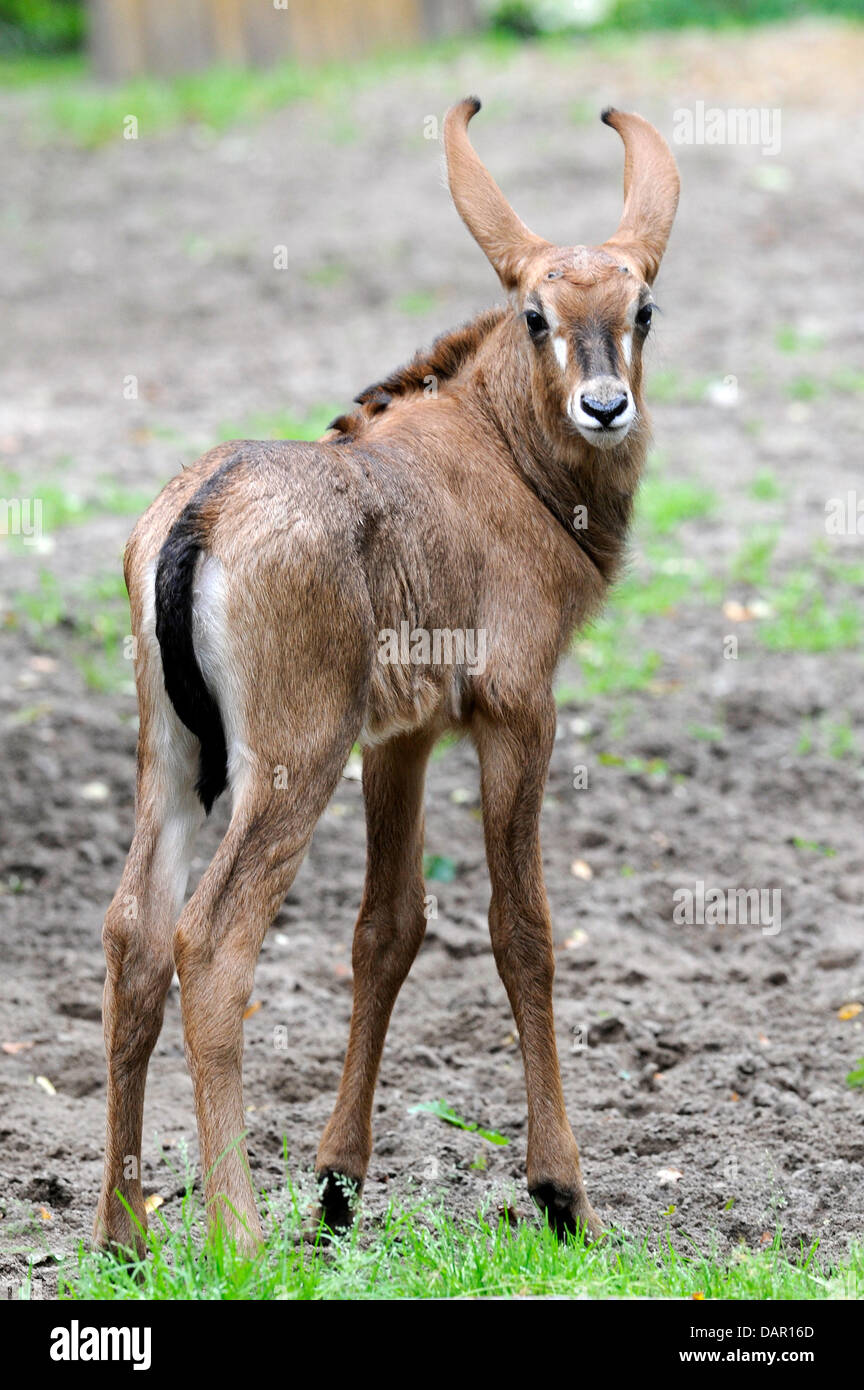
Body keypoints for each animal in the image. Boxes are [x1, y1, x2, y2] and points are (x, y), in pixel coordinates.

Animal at [95, 97, 679, 1254]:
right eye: (536, 314)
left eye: (643, 307)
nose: (604, 408)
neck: (501, 454)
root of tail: (203, 513)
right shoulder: (516, 711)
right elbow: (521, 930)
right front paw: (561, 1193)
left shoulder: (399, 738)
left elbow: (387, 928)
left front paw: (337, 1185)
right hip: (290, 762)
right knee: (209, 942)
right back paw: (238, 1236)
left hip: (170, 758)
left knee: (136, 930)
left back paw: (123, 1234)